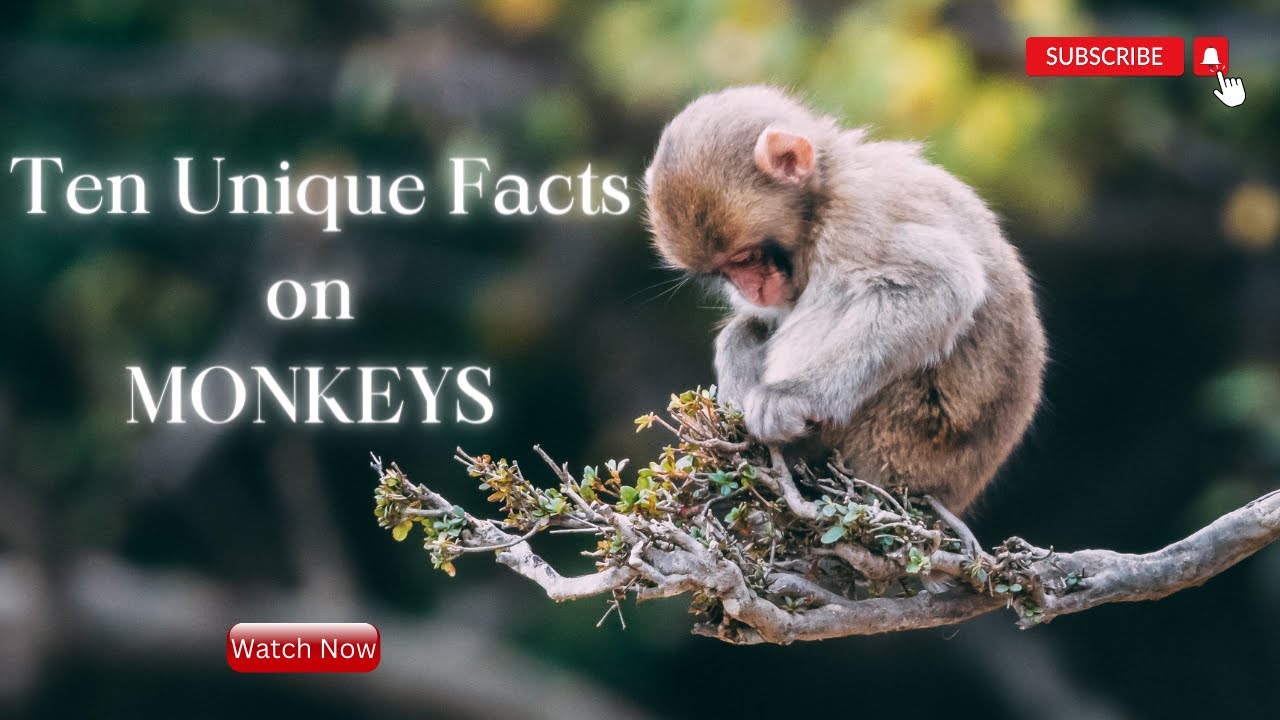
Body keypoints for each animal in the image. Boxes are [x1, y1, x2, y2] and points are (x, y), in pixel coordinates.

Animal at [643, 86, 1046, 513]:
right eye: (724, 272)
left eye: (745, 258)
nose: (749, 289)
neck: (824, 192)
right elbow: (760, 320)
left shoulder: (859, 217)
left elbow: (940, 285)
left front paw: (794, 396)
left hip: (898, 440)